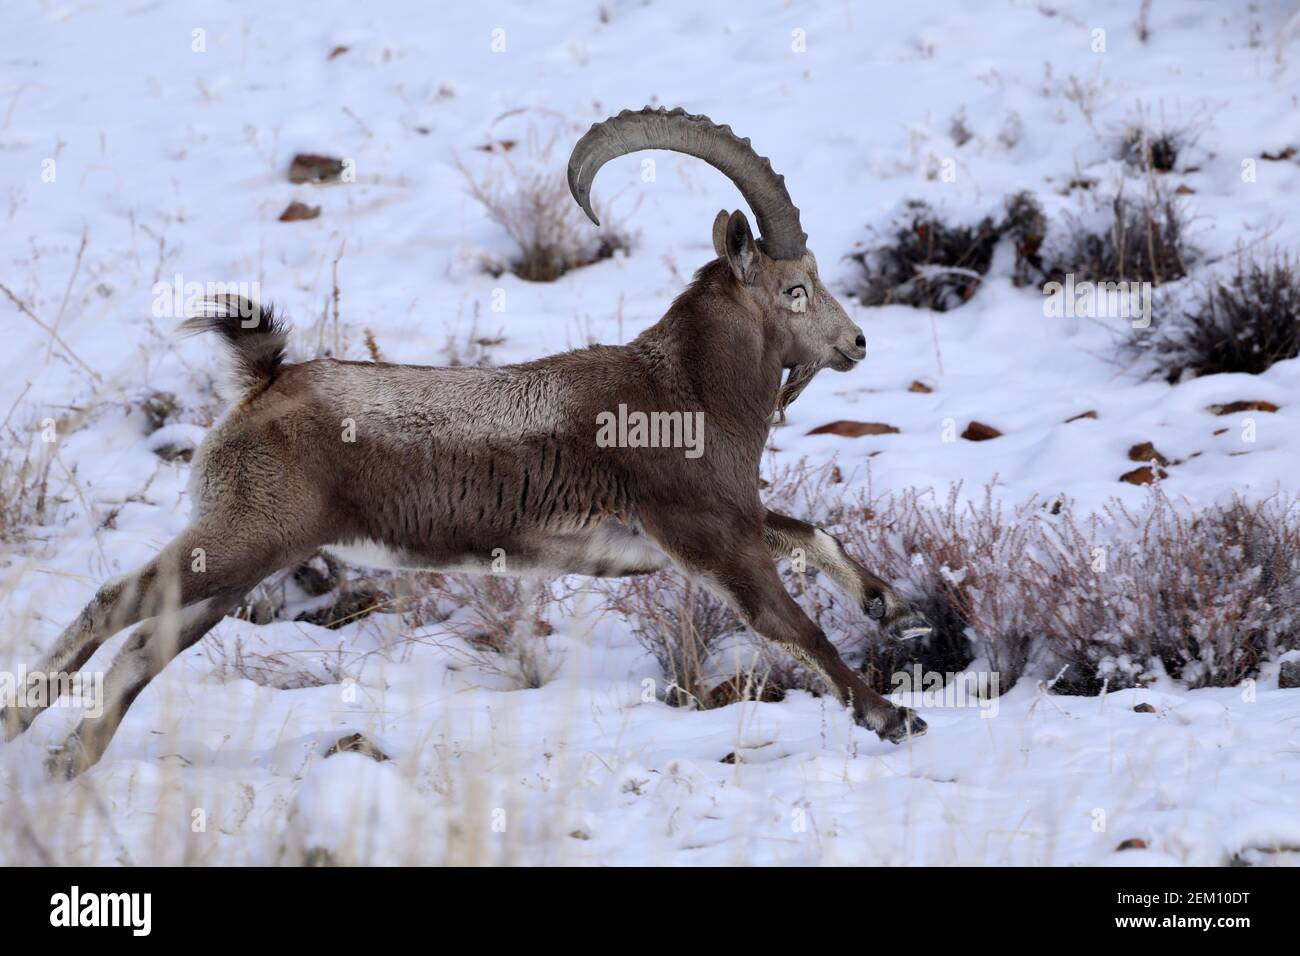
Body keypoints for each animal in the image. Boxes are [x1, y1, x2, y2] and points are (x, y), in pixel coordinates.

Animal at [2, 106, 932, 778]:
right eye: (796, 289)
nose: (856, 344)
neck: (685, 390)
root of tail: (262, 383)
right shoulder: (708, 535)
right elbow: (789, 625)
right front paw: (893, 716)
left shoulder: (703, 527)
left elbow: (810, 531)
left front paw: (890, 604)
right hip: (244, 538)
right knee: (113, 604)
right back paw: (22, 722)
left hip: (239, 566)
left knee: (144, 645)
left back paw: (69, 760)